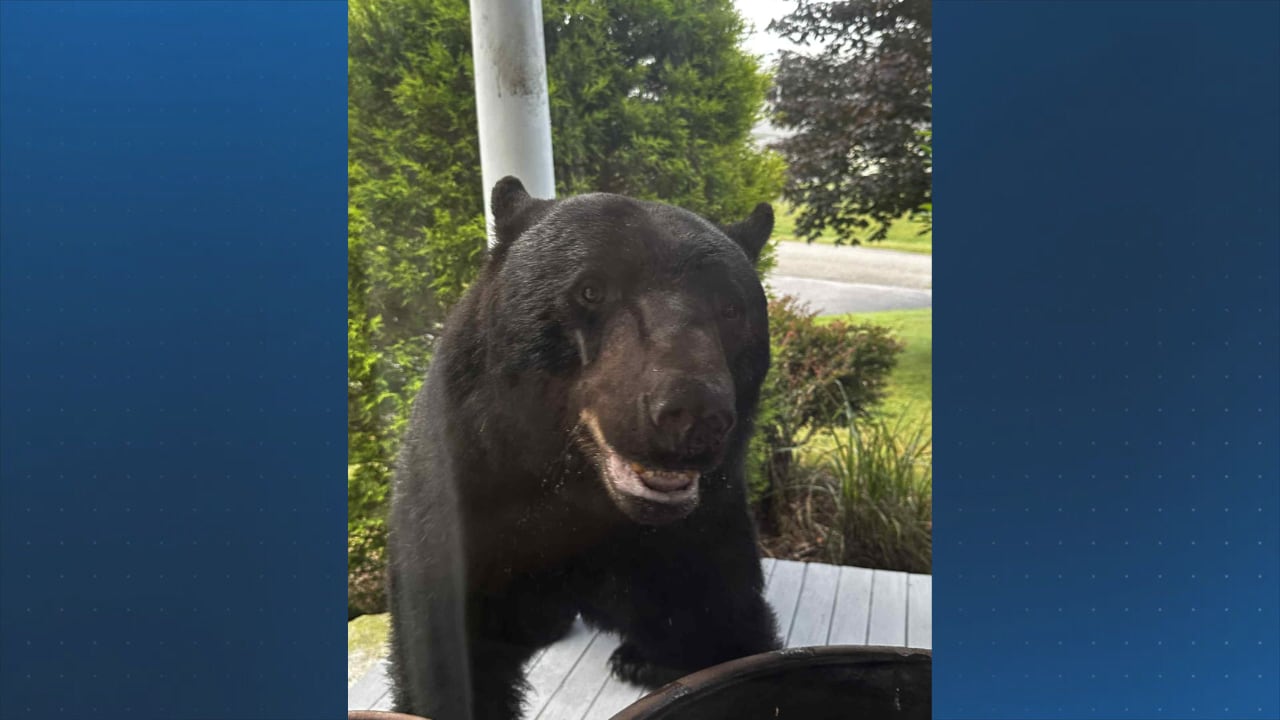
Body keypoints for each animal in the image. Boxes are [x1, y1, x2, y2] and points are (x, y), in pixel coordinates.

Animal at [386, 177, 781, 720]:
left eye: (730, 307)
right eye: (590, 290)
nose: (695, 413)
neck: (577, 495)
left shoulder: (702, 534)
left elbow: (727, 633)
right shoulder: (461, 501)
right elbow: (448, 666)